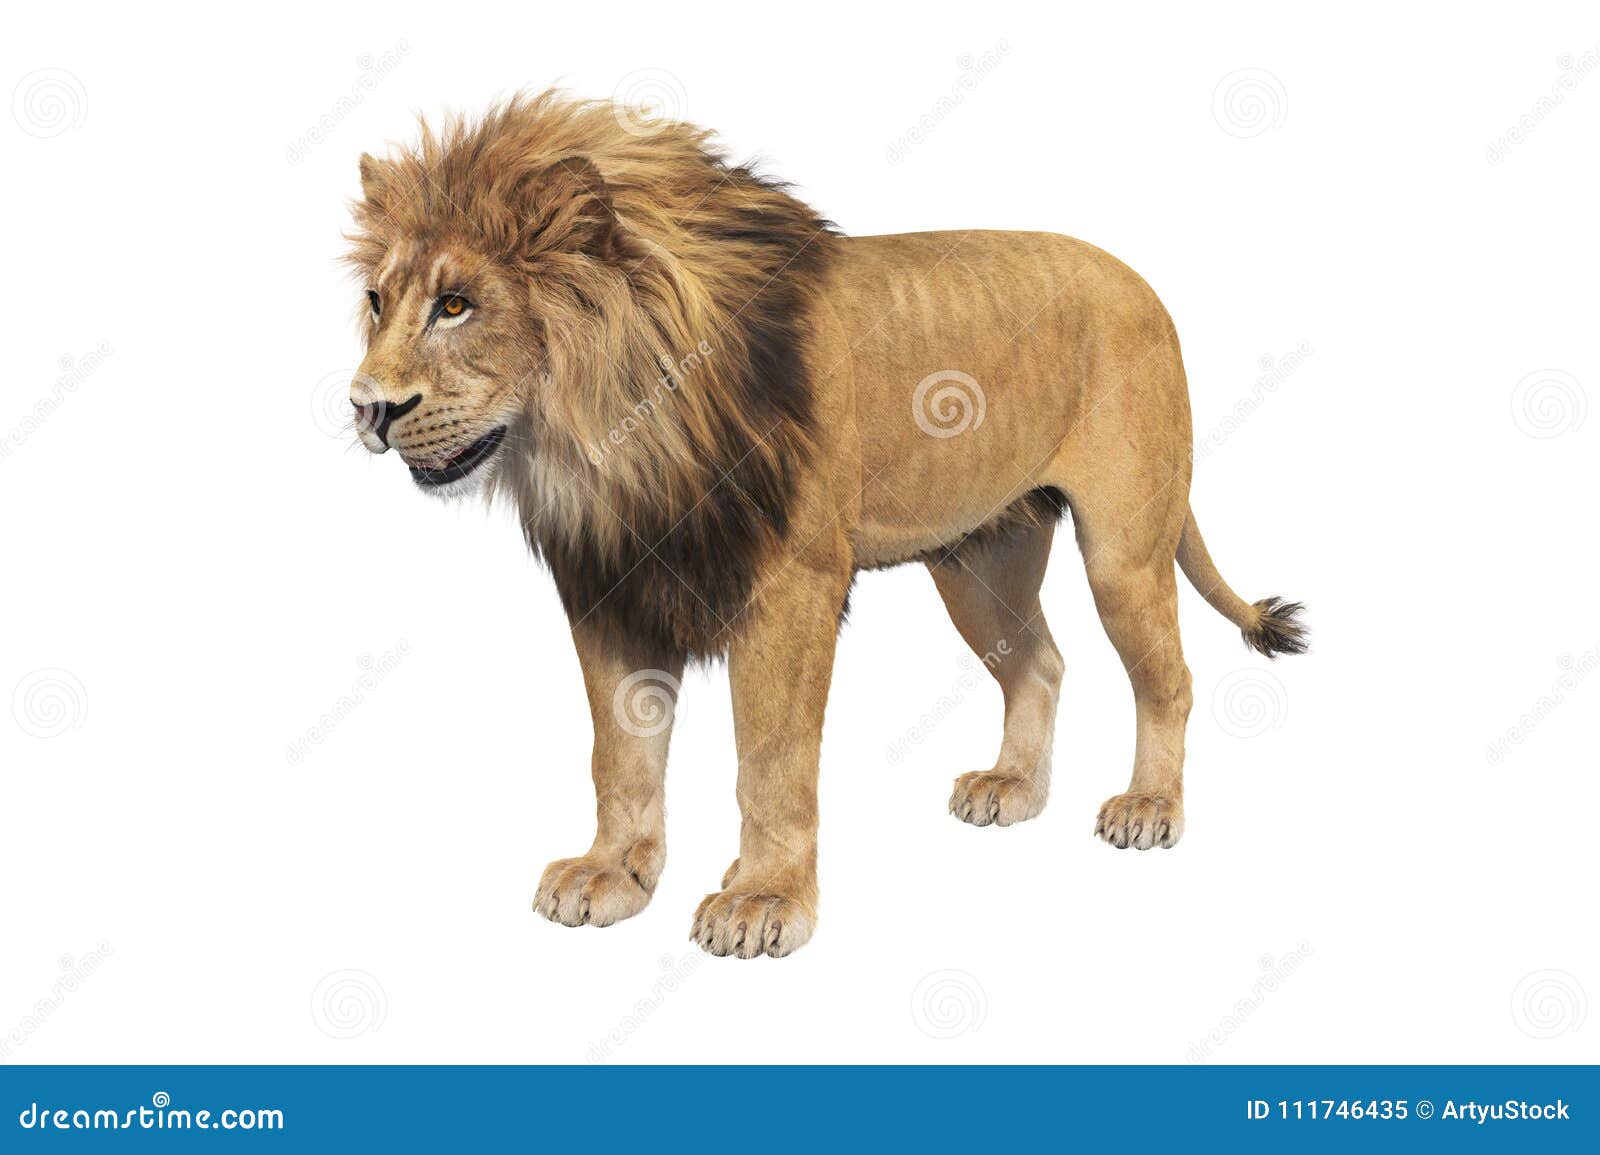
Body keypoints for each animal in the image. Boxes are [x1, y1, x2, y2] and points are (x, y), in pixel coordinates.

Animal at [344, 91, 1306, 958]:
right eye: (377, 301)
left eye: (458, 304)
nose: (366, 409)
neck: (613, 442)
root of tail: (1140, 281)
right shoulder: (609, 586)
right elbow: (620, 753)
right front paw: (612, 873)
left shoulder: (790, 587)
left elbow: (772, 759)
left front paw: (763, 898)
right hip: (978, 560)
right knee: (1039, 662)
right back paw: (1012, 787)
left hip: (1121, 550)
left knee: (1168, 677)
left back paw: (1150, 807)